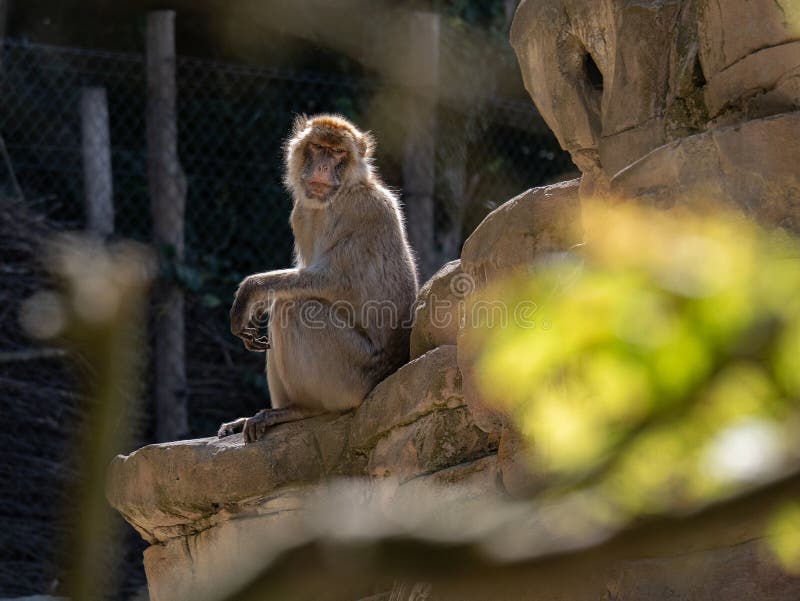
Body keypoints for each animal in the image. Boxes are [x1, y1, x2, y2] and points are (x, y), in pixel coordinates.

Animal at [218, 114, 419, 443]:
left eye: (337, 152)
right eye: (318, 147)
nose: (323, 166)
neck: (334, 199)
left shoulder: (365, 210)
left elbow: (334, 281)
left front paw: (252, 290)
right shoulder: (300, 213)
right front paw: (257, 303)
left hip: (352, 374)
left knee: (295, 307)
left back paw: (303, 409)